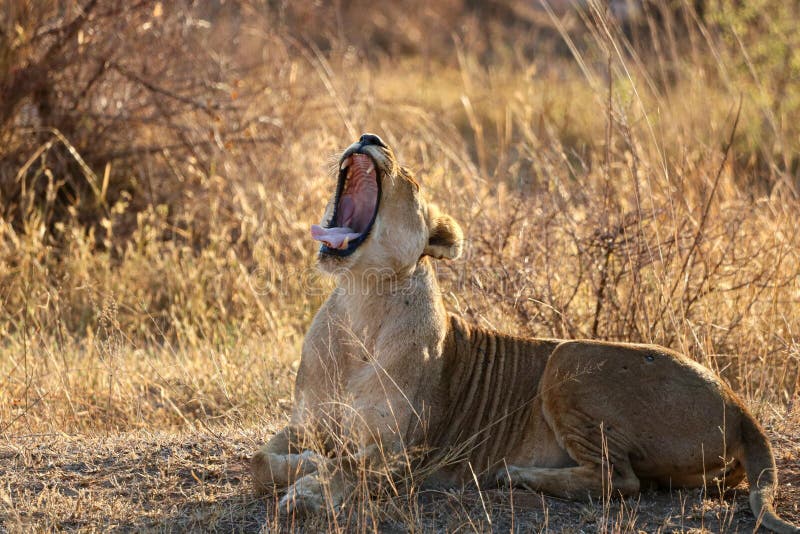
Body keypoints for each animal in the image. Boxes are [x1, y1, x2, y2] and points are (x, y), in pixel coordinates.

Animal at [251, 133, 798, 533]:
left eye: (412, 179)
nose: (370, 136)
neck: (360, 305)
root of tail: (740, 405)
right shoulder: (308, 423)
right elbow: (263, 460)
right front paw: (305, 467)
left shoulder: (405, 453)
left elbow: (350, 467)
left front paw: (309, 491)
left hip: (568, 360)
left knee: (621, 481)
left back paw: (515, 474)